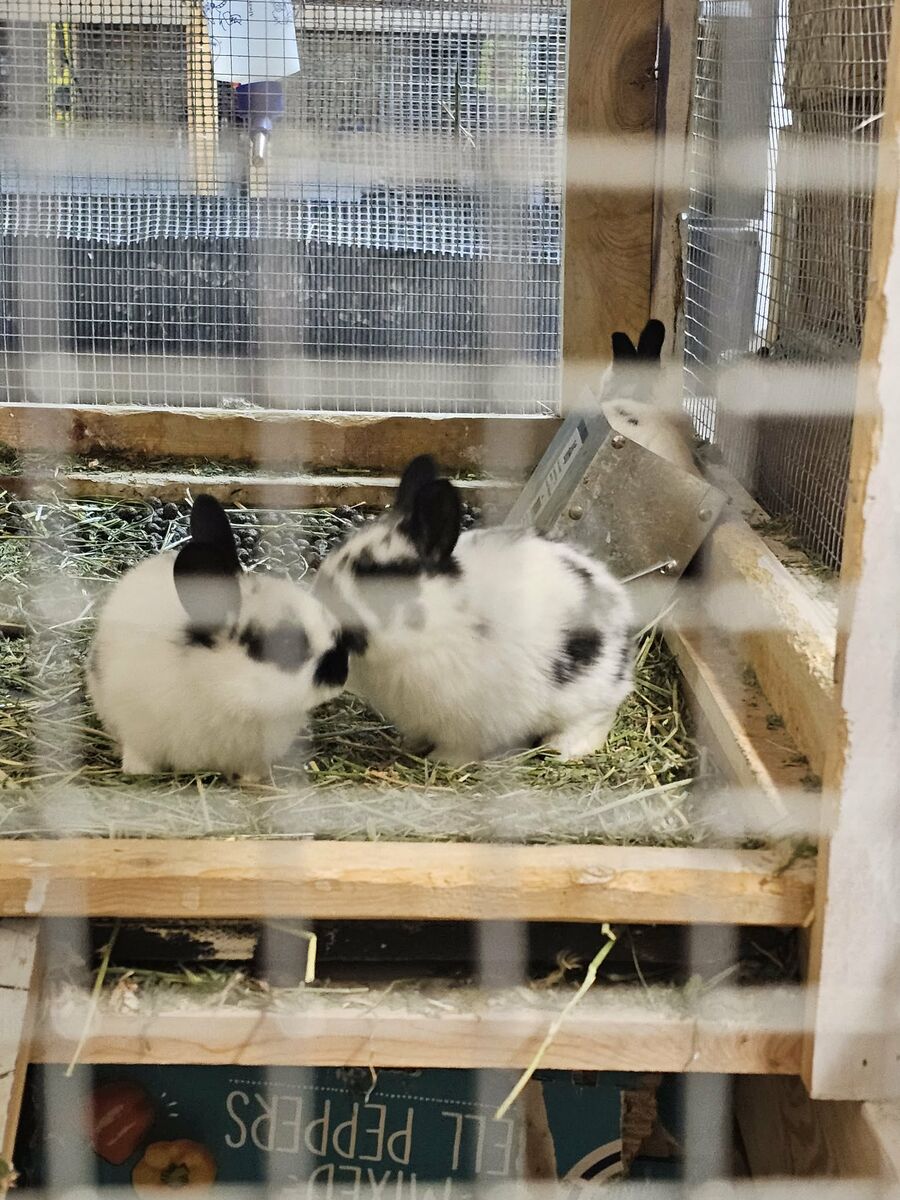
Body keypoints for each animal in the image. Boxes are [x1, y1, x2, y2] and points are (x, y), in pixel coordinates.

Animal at [313, 456, 635, 766]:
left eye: (375, 574)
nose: (318, 599)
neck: (440, 623)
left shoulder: (469, 722)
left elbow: (461, 747)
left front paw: (444, 761)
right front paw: (412, 745)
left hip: (581, 693)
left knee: (595, 718)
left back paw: (563, 748)